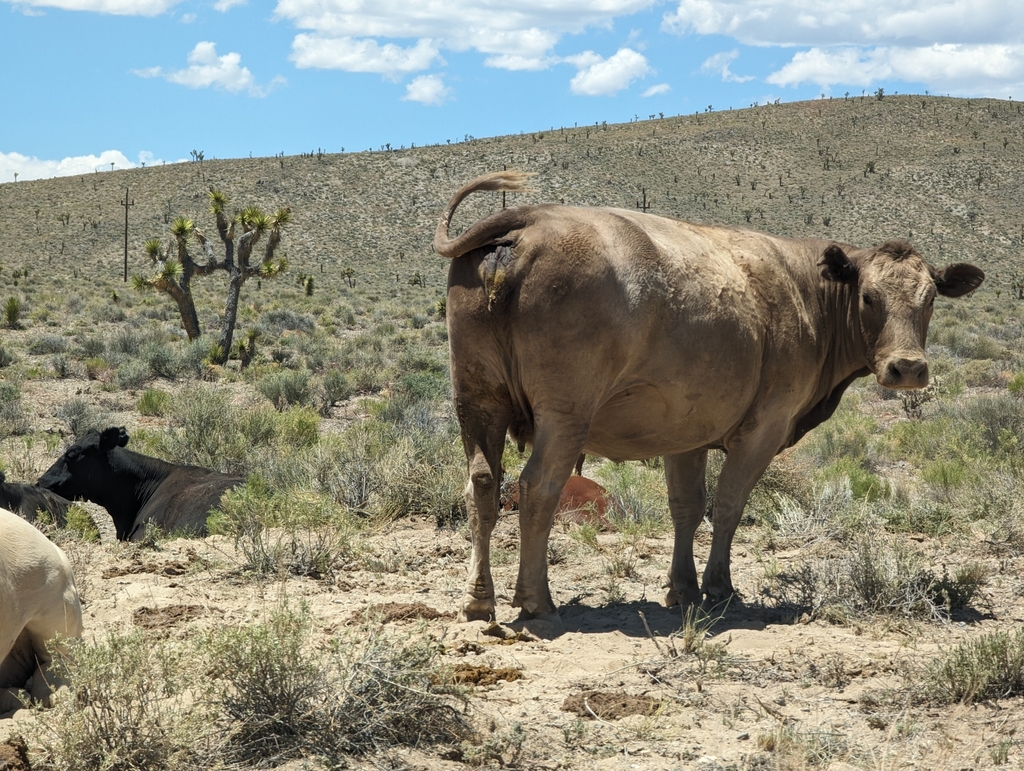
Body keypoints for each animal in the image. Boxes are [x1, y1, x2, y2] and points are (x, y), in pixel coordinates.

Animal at [435, 170, 984, 624]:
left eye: (930, 299)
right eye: (869, 297)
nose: (907, 368)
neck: (808, 290)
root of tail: (532, 218)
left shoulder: (684, 434)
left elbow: (686, 506)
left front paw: (682, 588)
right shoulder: (762, 430)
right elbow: (728, 506)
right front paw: (720, 588)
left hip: (477, 402)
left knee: (482, 485)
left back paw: (478, 599)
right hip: (564, 416)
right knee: (536, 487)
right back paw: (535, 599)